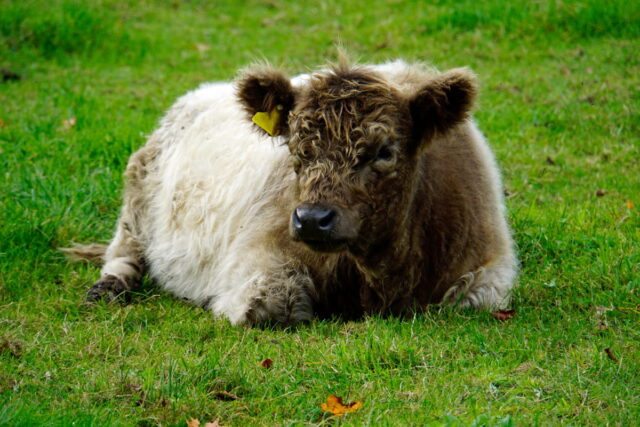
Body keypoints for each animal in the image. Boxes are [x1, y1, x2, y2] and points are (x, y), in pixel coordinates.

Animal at [66, 58, 518, 325]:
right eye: (296, 148)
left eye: (384, 151)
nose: (312, 219)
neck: (380, 277)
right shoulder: (256, 263)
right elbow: (273, 305)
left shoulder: (488, 275)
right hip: (138, 196)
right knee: (124, 252)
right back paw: (108, 288)